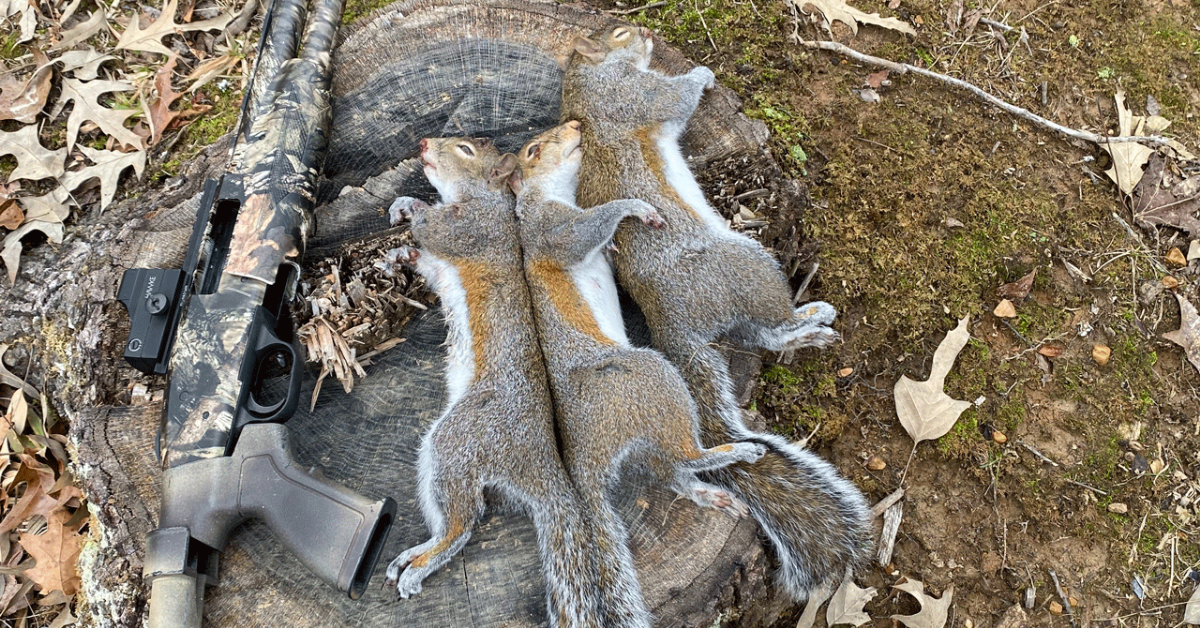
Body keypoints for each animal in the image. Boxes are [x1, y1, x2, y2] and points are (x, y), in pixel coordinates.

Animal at [382, 136, 606, 628]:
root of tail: (538, 460)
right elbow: (427, 263)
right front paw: (400, 245)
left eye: (465, 149)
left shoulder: (474, 232)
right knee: (457, 523)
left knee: (464, 525)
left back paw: (418, 568)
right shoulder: (444, 264)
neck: (480, 201)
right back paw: (413, 556)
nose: (423, 144)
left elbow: (437, 228)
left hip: (456, 441)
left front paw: (411, 208)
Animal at [507, 120, 768, 628]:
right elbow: (585, 229)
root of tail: (584, 458)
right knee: (685, 454)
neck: (550, 196)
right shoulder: (550, 230)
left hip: (645, 436)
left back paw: (708, 493)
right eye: (533, 150)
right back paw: (735, 451)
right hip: (655, 382)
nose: (575, 125)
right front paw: (633, 208)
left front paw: (613, 242)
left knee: (671, 470)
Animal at [559, 25, 873, 600]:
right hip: (752, 267)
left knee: (761, 338)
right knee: (773, 327)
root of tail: (675, 330)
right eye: (618, 32)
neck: (587, 87)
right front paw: (701, 74)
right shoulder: (631, 96)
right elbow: (676, 97)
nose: (645, 32)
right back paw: (809, 319)